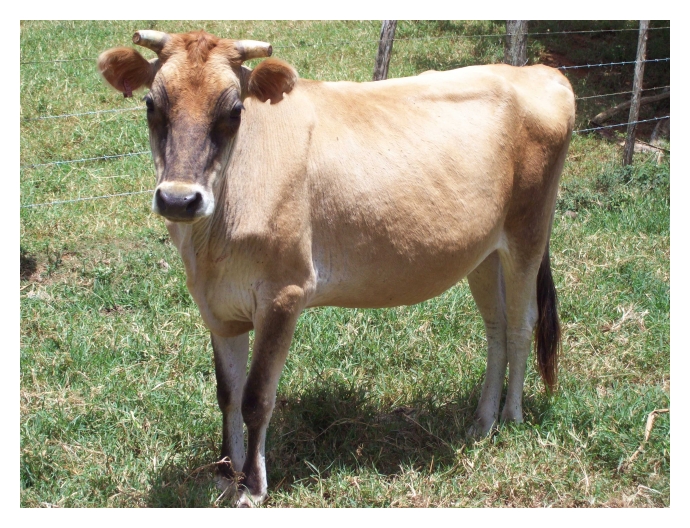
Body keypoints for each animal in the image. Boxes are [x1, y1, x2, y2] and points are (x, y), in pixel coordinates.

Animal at [98, 29, 575, 507]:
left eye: (234, 109)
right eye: (151, 104)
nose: (179, 199)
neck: (210, 242)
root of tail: (538, 72)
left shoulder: (284, 294)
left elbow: (256, 398)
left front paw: (251, 486)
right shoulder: (217, 306)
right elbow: (227, 394)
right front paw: (224, 473)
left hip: (528, 231)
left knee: (521, 323)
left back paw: (510, 418)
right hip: (484, 251)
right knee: (495, 326)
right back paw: (482, 421)